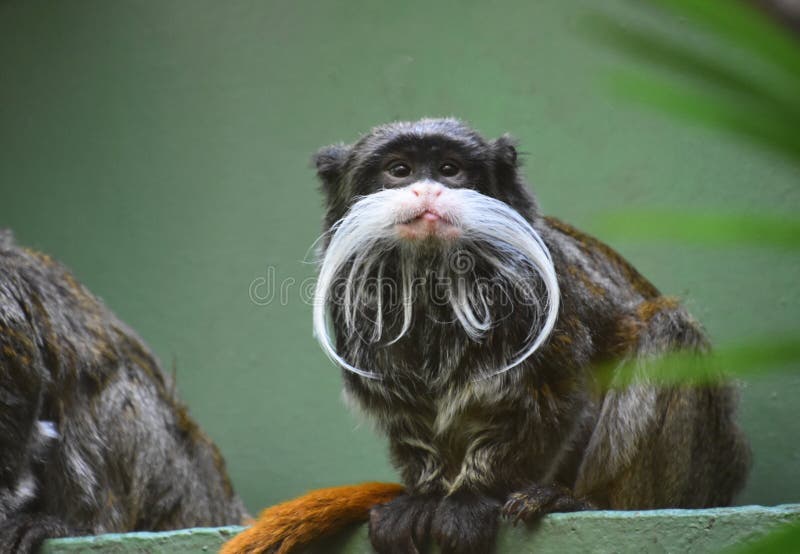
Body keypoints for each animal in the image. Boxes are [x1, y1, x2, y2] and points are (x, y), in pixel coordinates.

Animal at [223, 118, 750, 554]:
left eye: (449, 169)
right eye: (400, 170)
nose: (428, 190)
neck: (430, 279)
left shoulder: (542, 300)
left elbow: (551, 399)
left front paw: (474, 497)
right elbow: (406, 415)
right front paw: (427, 495)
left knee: (670, 331)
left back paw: (589, 503)